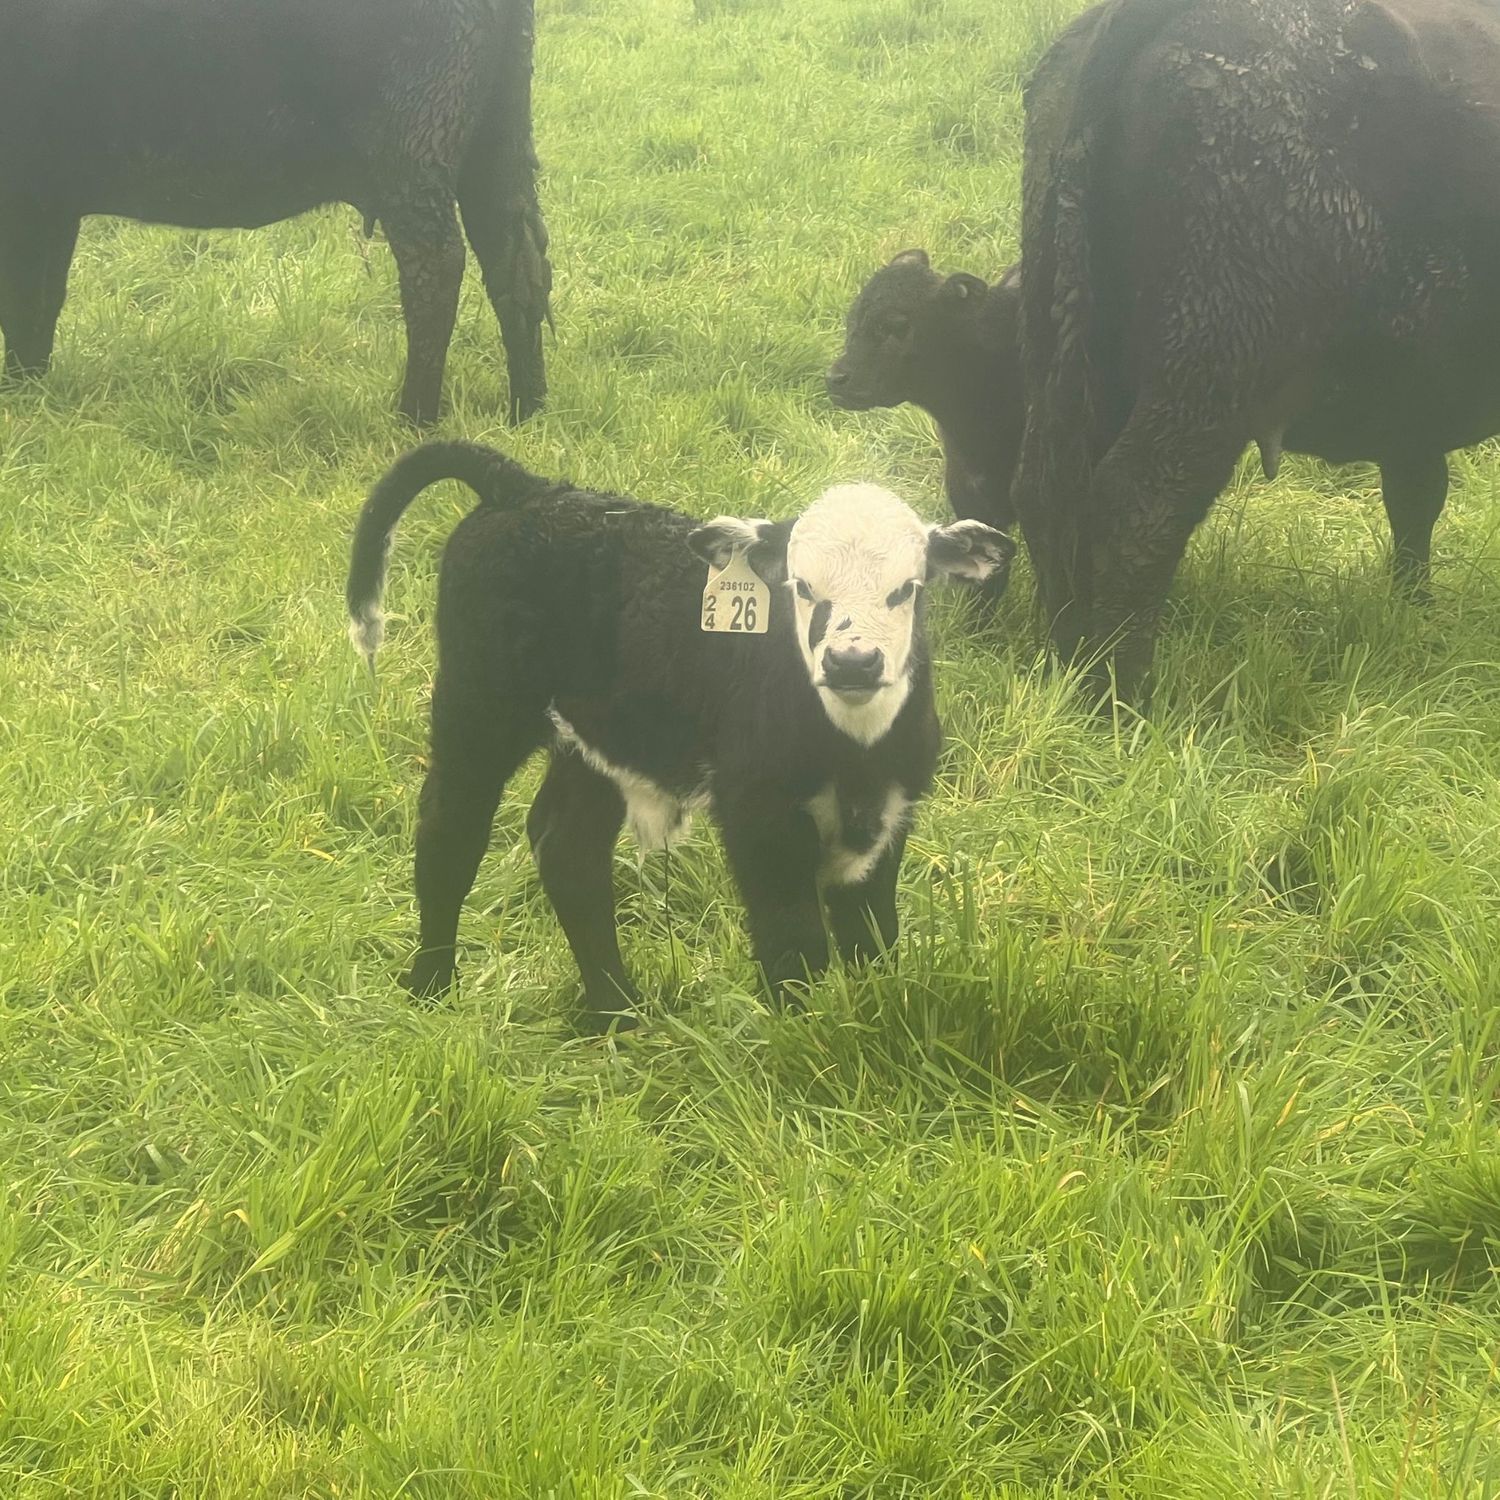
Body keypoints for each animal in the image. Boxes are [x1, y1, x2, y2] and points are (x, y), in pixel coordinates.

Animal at [347, 440, 1013, 1030]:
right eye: (800, 586)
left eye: (909, 588)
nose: (853, 662)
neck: (853, 751)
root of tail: (529, 489)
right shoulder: (756, 814)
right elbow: (794, 945)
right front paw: (804, 1049)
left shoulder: (892, 814)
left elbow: (872, 936)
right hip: (480, 701)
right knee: (450, 830)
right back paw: (433, 989)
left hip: (600, 734)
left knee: (568, 848)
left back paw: (616, 1014)